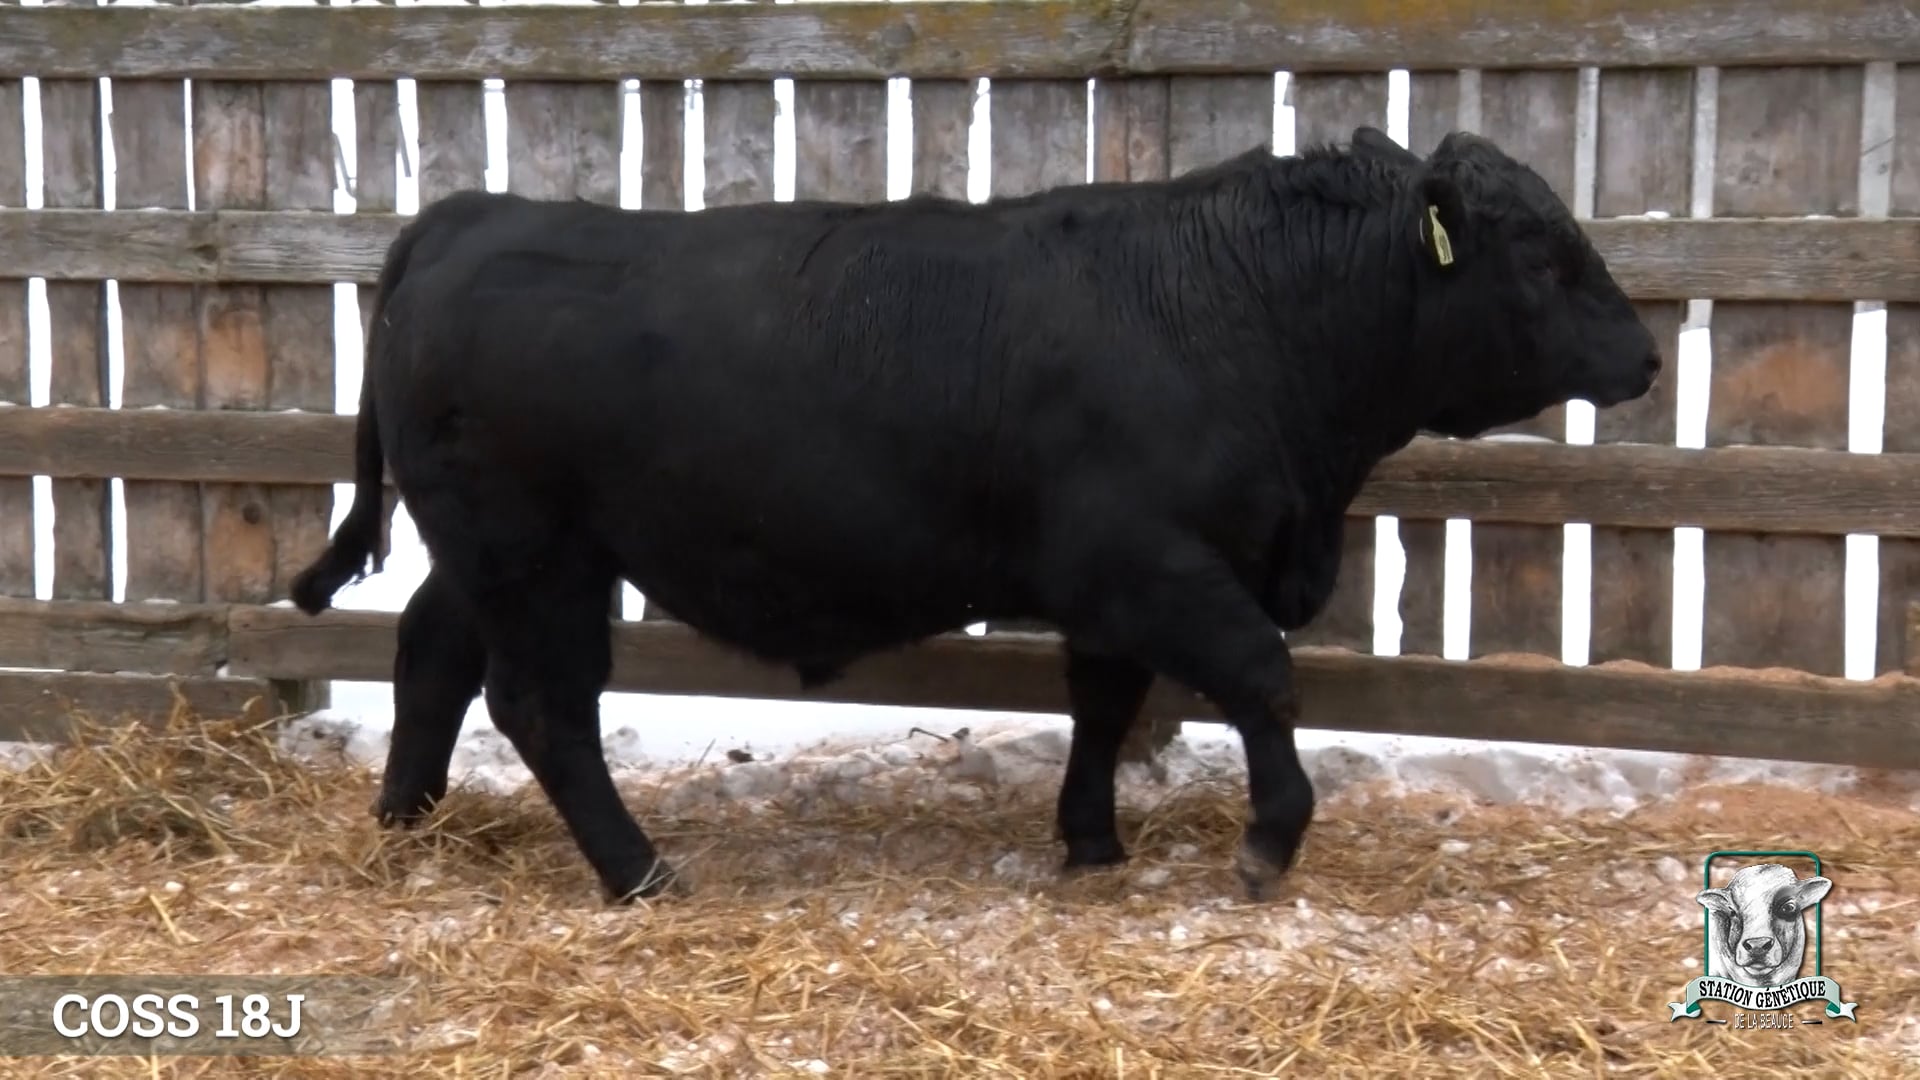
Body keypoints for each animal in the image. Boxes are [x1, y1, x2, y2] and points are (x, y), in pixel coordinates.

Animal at [290, 126, 1661, 904]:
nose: (1646, 355)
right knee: (543, 705)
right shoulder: (1156, 565)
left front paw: (1091, 843)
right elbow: (1262, 680)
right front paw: (1269, 843)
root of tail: (469, 214)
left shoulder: (1111, 591)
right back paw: (639, 872)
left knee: (431, 650)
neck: (1229, 309)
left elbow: (1103, 707)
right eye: (1543, 253)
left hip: (484, 555)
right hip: (538, 556)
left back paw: (405, 821)